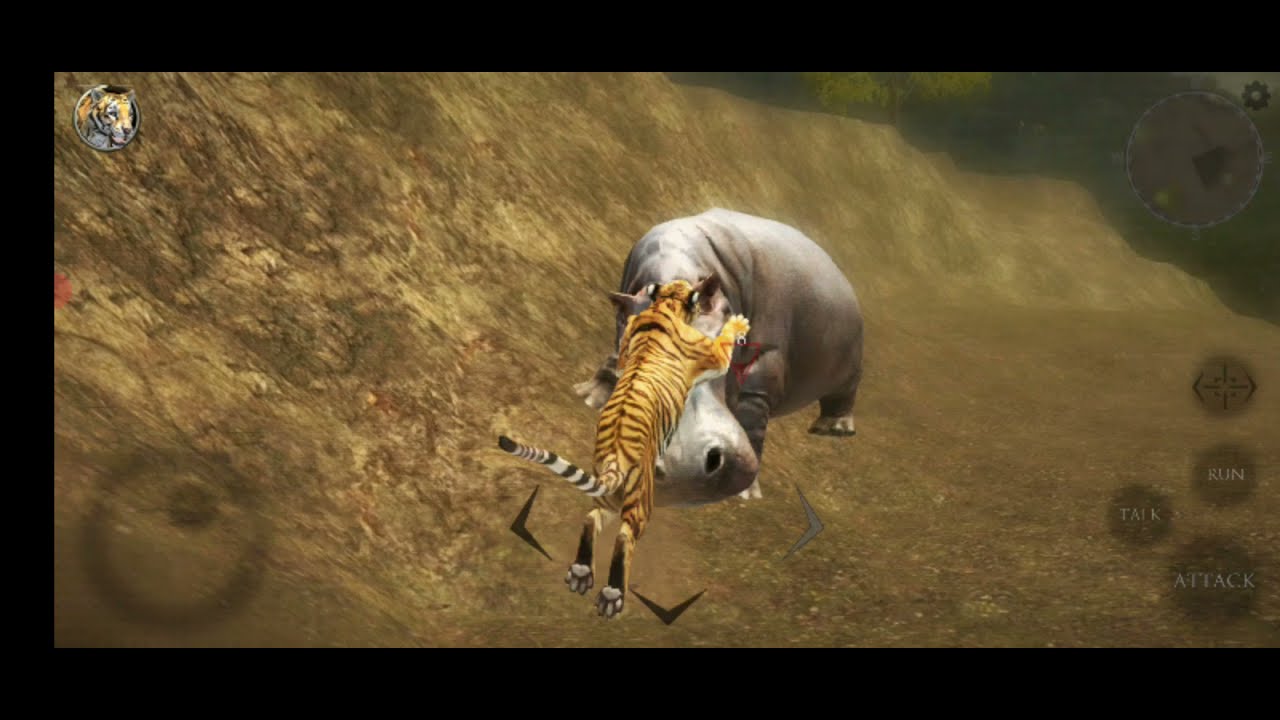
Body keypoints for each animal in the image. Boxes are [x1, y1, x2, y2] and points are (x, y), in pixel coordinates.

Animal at [498, 275, 750, 619]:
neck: (663, 306)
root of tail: (617, 458)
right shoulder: (710, 353)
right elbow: (723, 345)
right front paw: (738, 324)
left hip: (608, 497)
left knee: (590, 518)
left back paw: (581, 573)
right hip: (641, 503)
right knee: (624, 537)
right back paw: (612, 595)